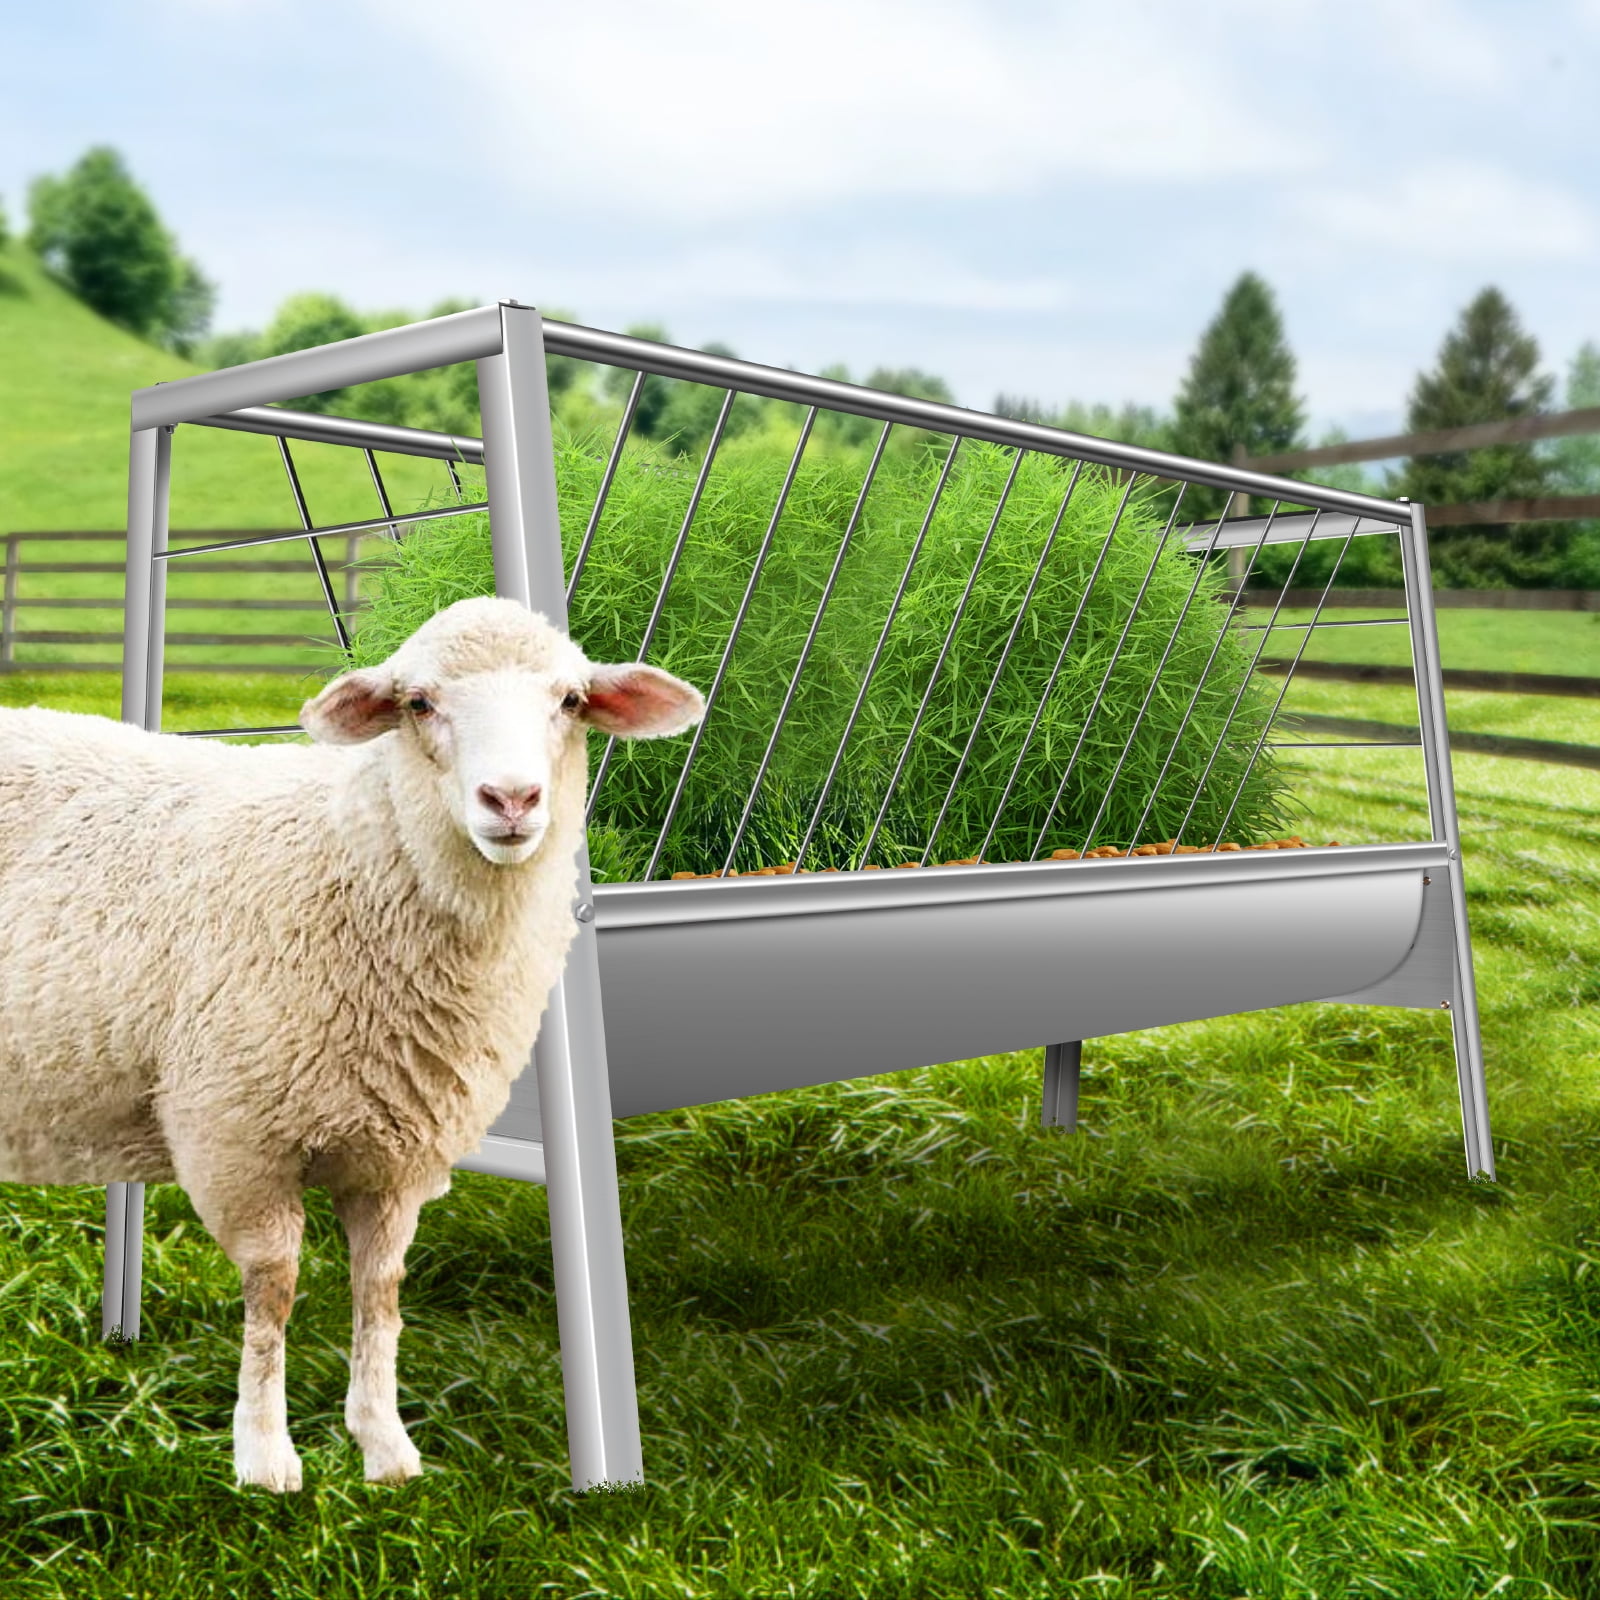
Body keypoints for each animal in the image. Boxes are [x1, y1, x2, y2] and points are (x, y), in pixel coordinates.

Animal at [0, 596, 704, 1492]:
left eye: (571, 700)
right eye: (419, 703)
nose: (511, 799)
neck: (354, 859)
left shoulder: (399, 1153)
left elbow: (381, 1289)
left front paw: (385, 1446)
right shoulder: (237, 1137)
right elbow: (274, 1290)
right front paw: (265, 1457)